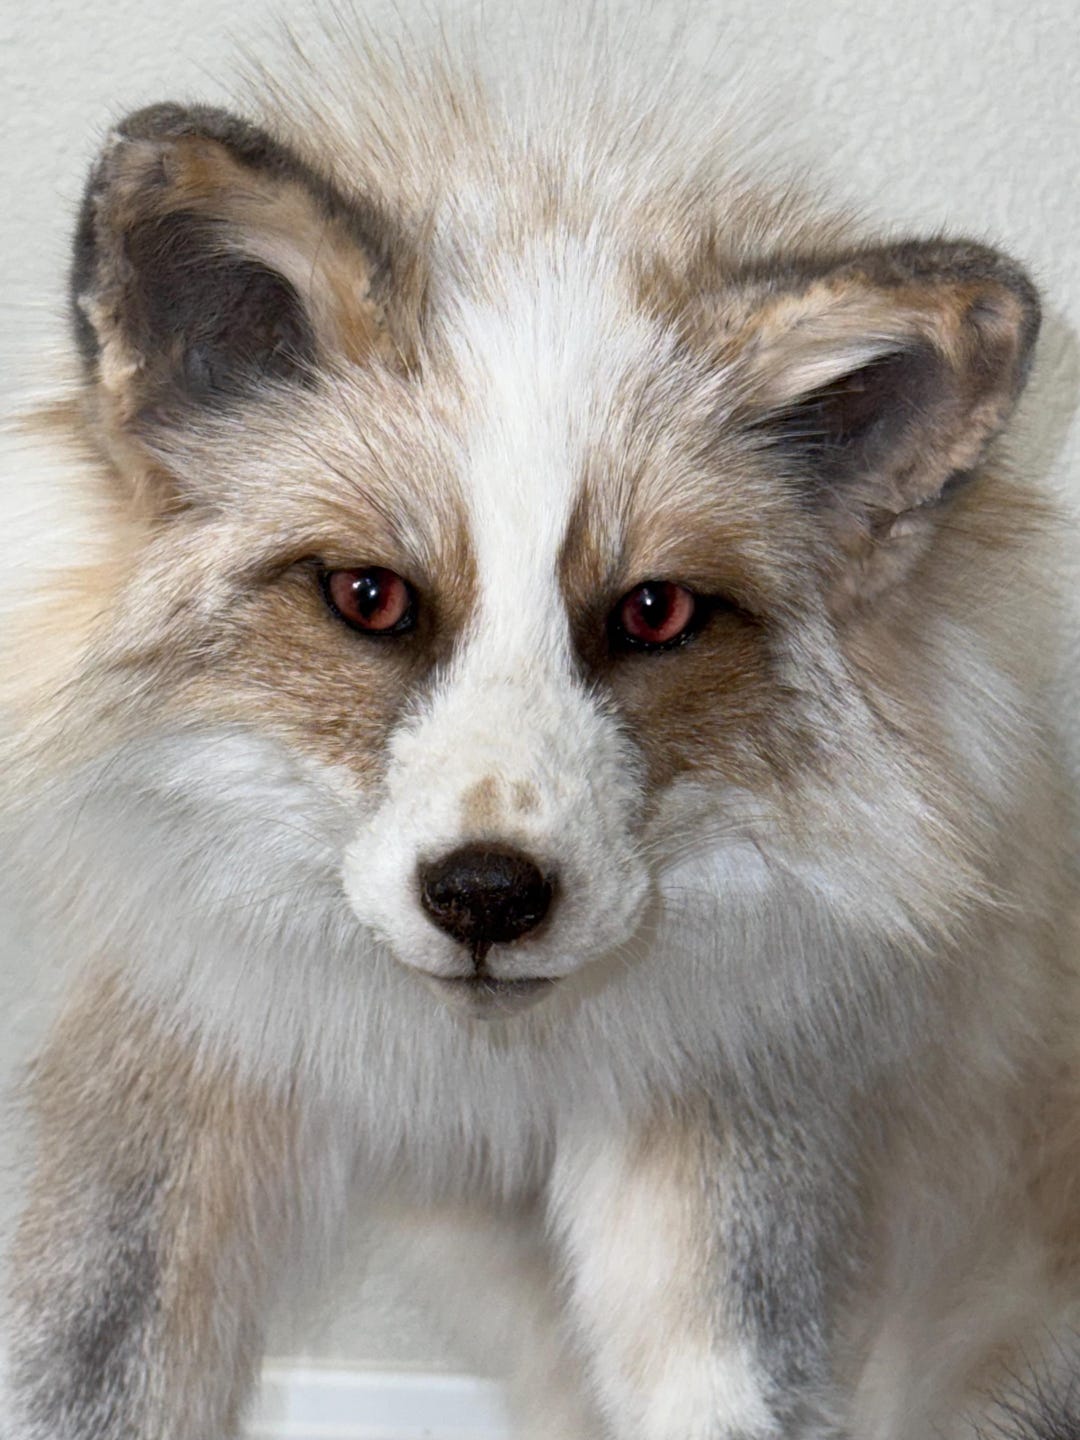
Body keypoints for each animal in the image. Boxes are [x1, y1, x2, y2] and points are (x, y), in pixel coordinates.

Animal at [0, 14, 1077, 1440]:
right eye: (371, 596)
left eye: (655, 612)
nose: (488, 896)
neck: (485, 1087)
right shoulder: (169, 1066)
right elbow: (87, 1377)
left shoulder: (728, 1121)